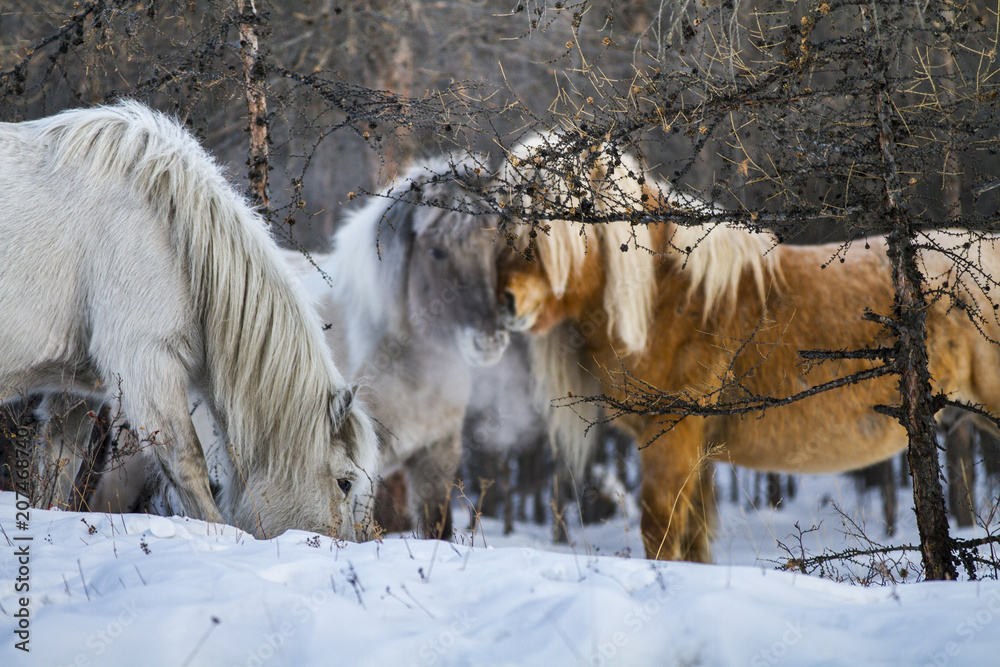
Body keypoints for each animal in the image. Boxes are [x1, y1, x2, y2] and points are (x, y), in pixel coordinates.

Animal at [0, 101, 379, 540]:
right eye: (344, 482)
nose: (338, 545)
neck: (171, 234)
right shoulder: (147, 362)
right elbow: (188, 465)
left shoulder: (73, 391)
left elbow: (59, 469)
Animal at [495, 133, 1000, 562]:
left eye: (559, 219)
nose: (505, 301)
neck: (670, 297)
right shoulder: (698, 452)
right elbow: (694, 541)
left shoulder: (672, 437)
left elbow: (661, 535)